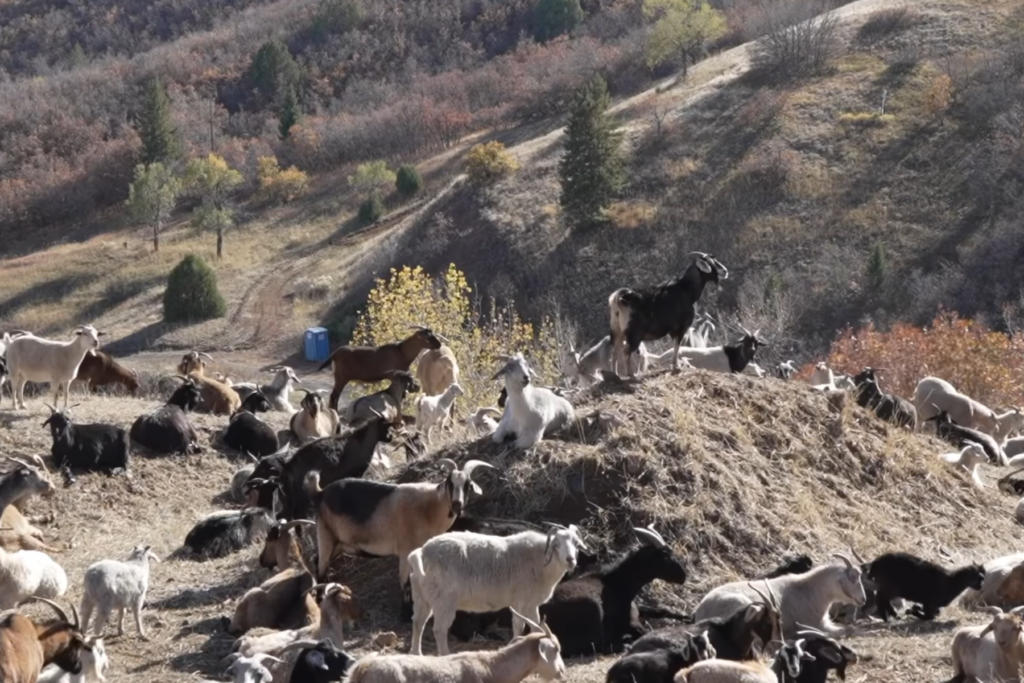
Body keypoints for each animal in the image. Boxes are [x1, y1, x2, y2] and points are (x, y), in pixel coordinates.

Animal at [307, 458, 495, 589]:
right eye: (449, 482)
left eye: (468, 485)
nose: (457, 504)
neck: (430, 507)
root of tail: (319, 493)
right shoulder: (406, 551)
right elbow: (405, 584)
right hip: (326, 536)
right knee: (320, 567)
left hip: (338, 544)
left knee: (316, 562)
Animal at [409, 523, 587, 655]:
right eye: (556, 544)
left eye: (576, 544)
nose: (570, 560)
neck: (540, 561)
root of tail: (422, 553)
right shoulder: (522, 601)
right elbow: (521, 626)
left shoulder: (529, 604)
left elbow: (535, 626)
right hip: (444, 600)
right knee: (439, 630)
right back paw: (445, 655)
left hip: (422, 596)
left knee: (418, 623)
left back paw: (416, 654)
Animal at [540, 525, 688, 656]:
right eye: (664, 555)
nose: (683, 576)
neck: (615, 584)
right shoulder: (632, 623)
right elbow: (648, 632)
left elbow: (662, 610)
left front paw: (688, 617)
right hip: (592, 608)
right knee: (597, 646)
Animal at [693, 553, 865, 638]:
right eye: (852, 577)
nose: (863, 599)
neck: (809, 590)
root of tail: (700, 612)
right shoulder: (816, 624)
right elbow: (846, 630)